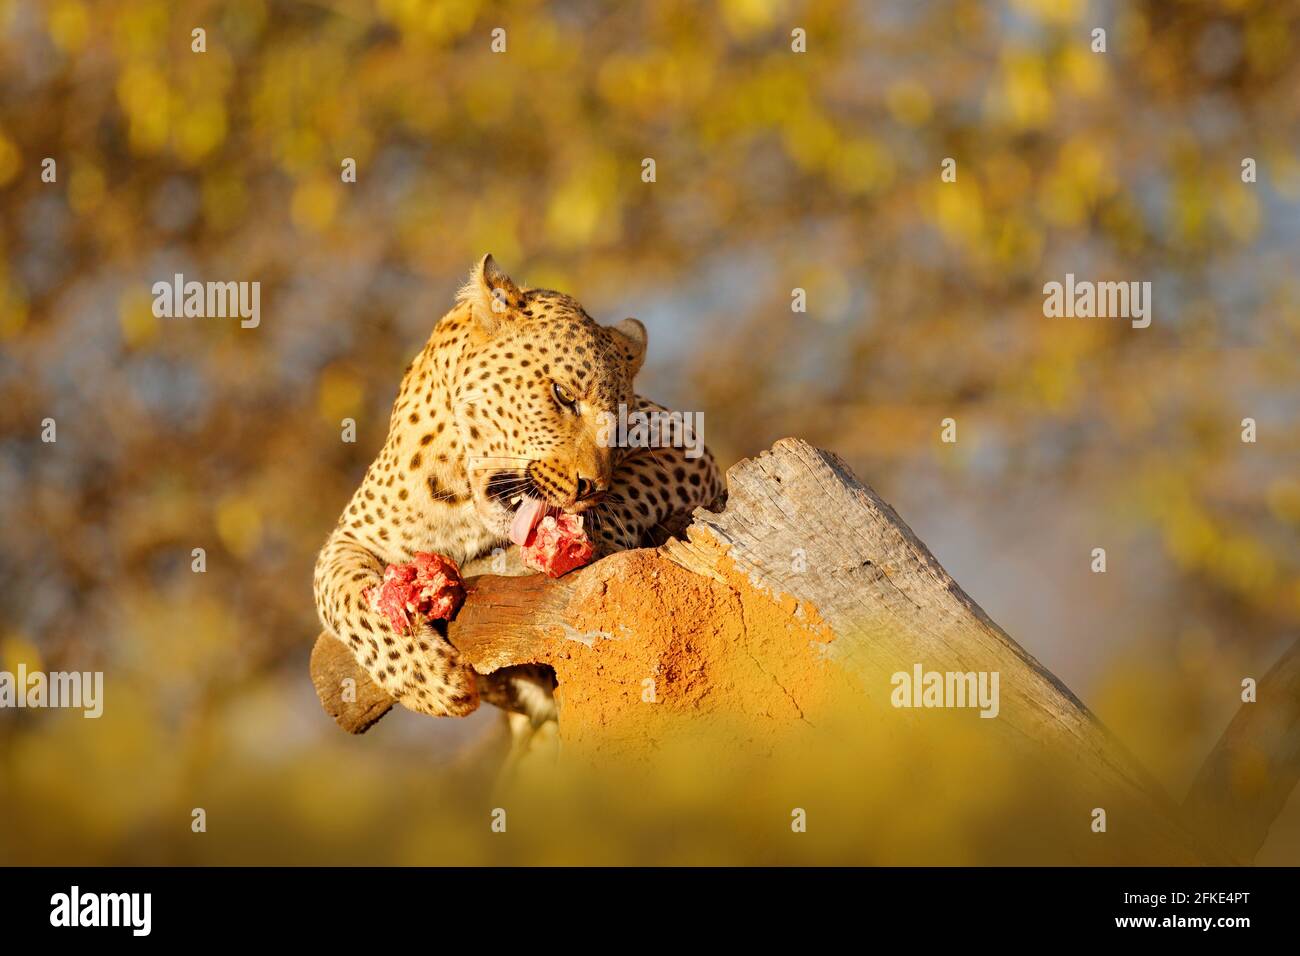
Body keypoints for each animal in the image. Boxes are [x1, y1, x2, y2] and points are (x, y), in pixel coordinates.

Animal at [313, 255, 725, 729]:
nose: (590, 488)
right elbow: (344, 594)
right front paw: (429, 681)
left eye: (621, 427)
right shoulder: (349, 537)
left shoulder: (685, 443)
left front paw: (593, 533)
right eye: (563, 395)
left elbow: (636, 485)